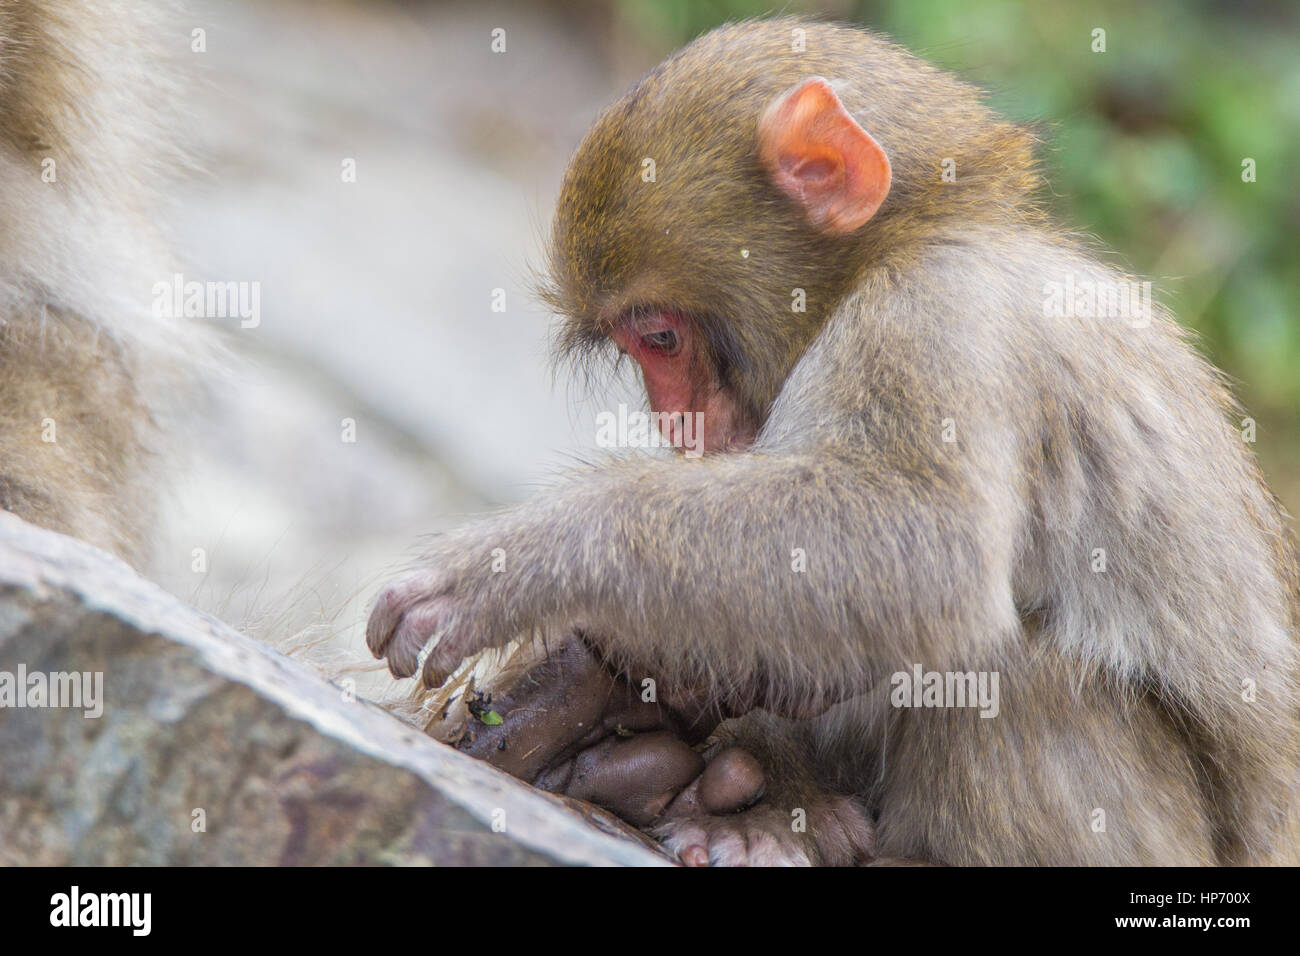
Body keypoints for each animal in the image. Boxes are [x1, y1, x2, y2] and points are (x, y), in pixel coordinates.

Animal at [368, 18, 1300, 866]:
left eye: (659, 337)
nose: (675, 421)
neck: (909, 238)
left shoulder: (935, 312)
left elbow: (925, 546)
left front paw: (511, 566)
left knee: (1012, 668)